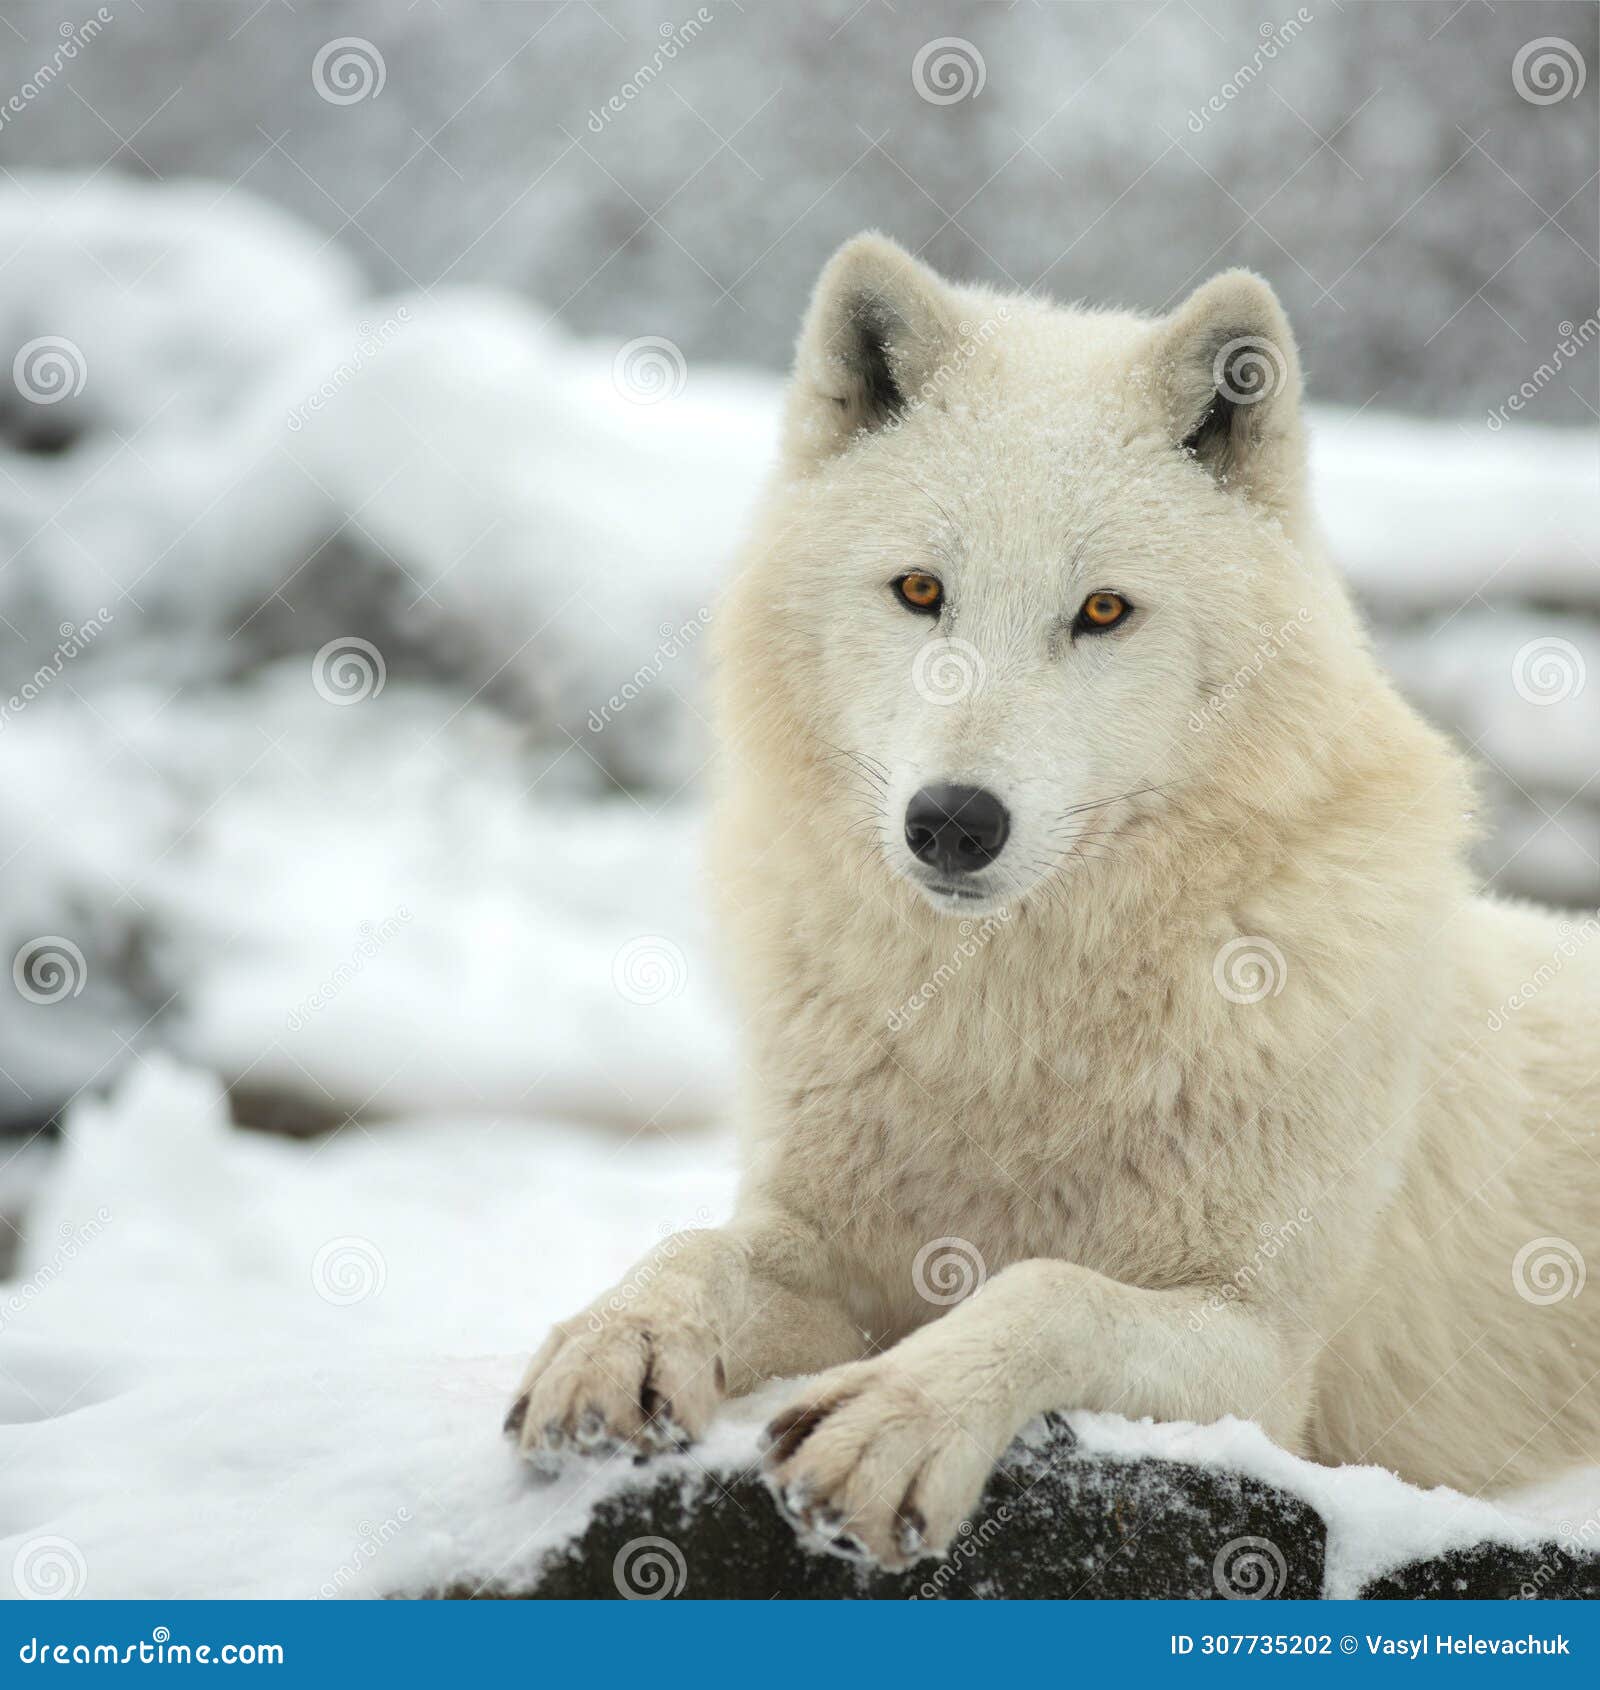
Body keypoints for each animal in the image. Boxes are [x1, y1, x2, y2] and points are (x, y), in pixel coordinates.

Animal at [505, 234, 1599, 1569]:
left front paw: (896, 1421)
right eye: (919, 590)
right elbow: (697, 1246)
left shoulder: (1263, 1363)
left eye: (1102, 611)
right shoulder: (826, 1252)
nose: (951, 822)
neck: (1001, 1024)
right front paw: (617, 1340)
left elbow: (1044, 1289)